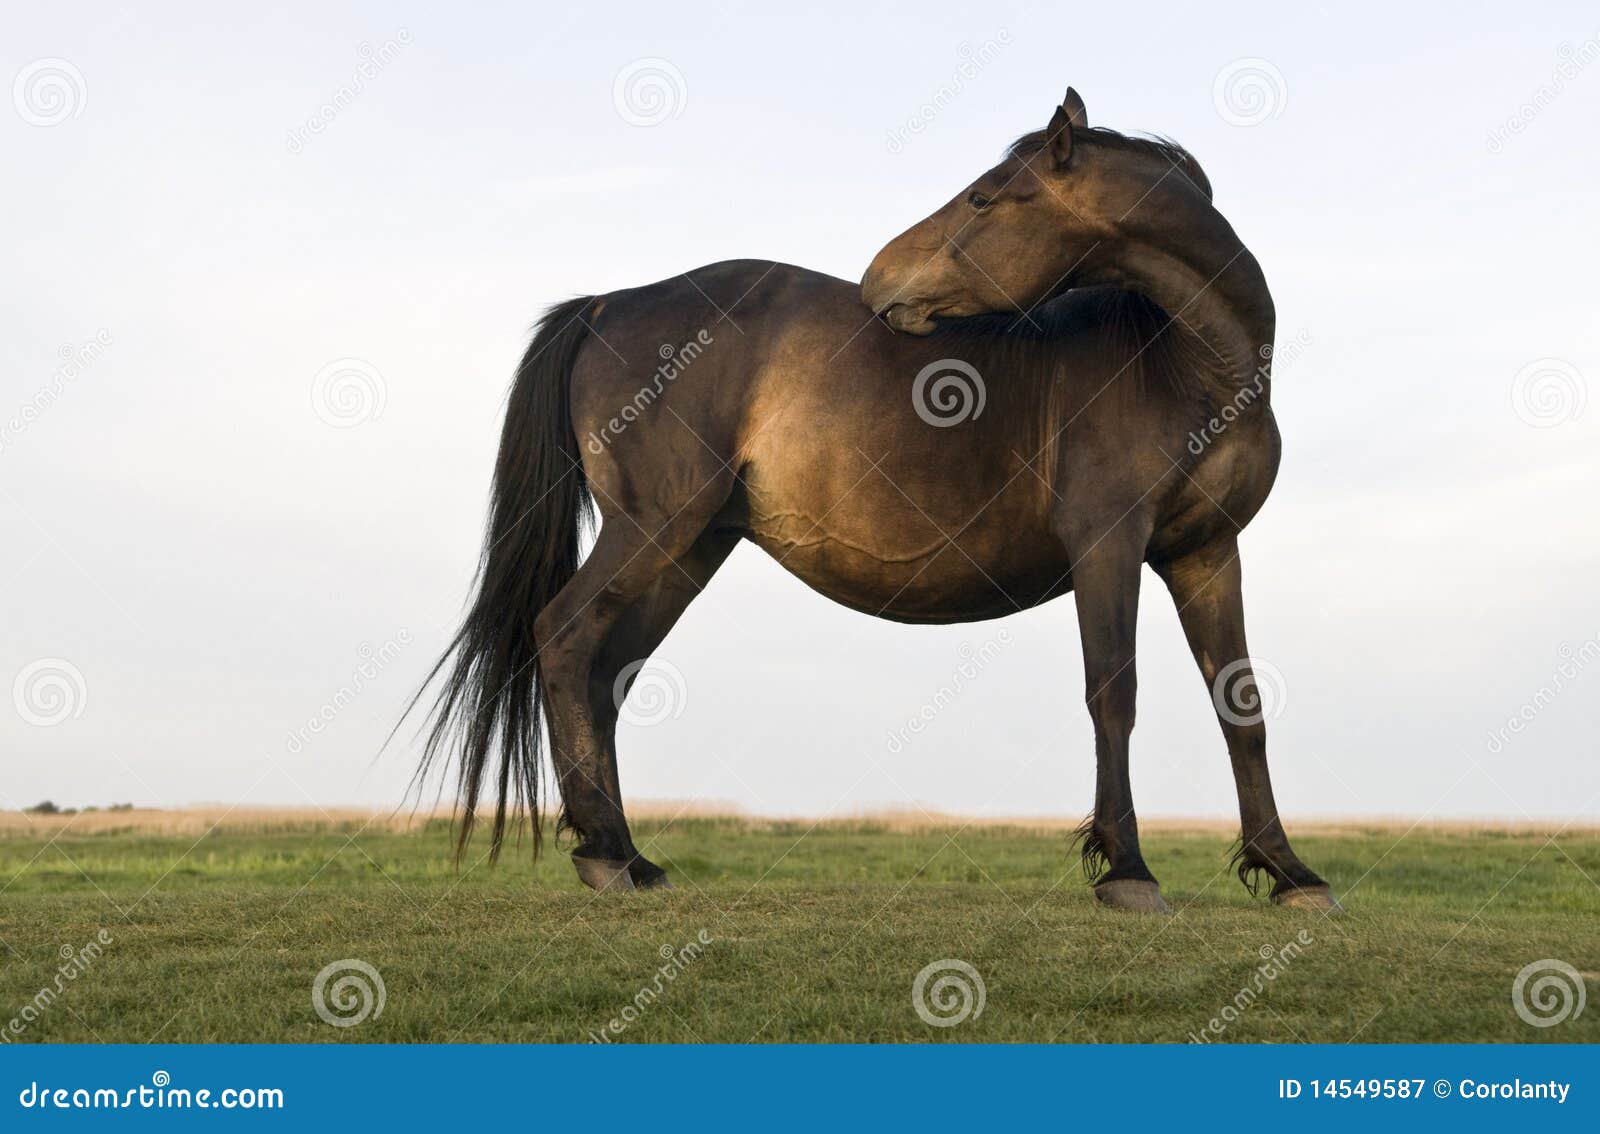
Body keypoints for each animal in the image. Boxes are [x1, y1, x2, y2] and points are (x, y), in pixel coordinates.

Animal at [412, 85, 1337, 913]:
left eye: (985, 196)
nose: (878, 279)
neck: (1184, 362)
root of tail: (607, 304)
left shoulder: (1205, 552)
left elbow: (1241, 707)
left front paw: (1288, 872)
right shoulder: (1108, 544)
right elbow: (1113, 693)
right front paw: (1128, 870)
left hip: (689, 547)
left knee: (606, 671)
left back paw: (631, 857)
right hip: (651, 529)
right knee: (566, 638)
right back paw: (604, 854)